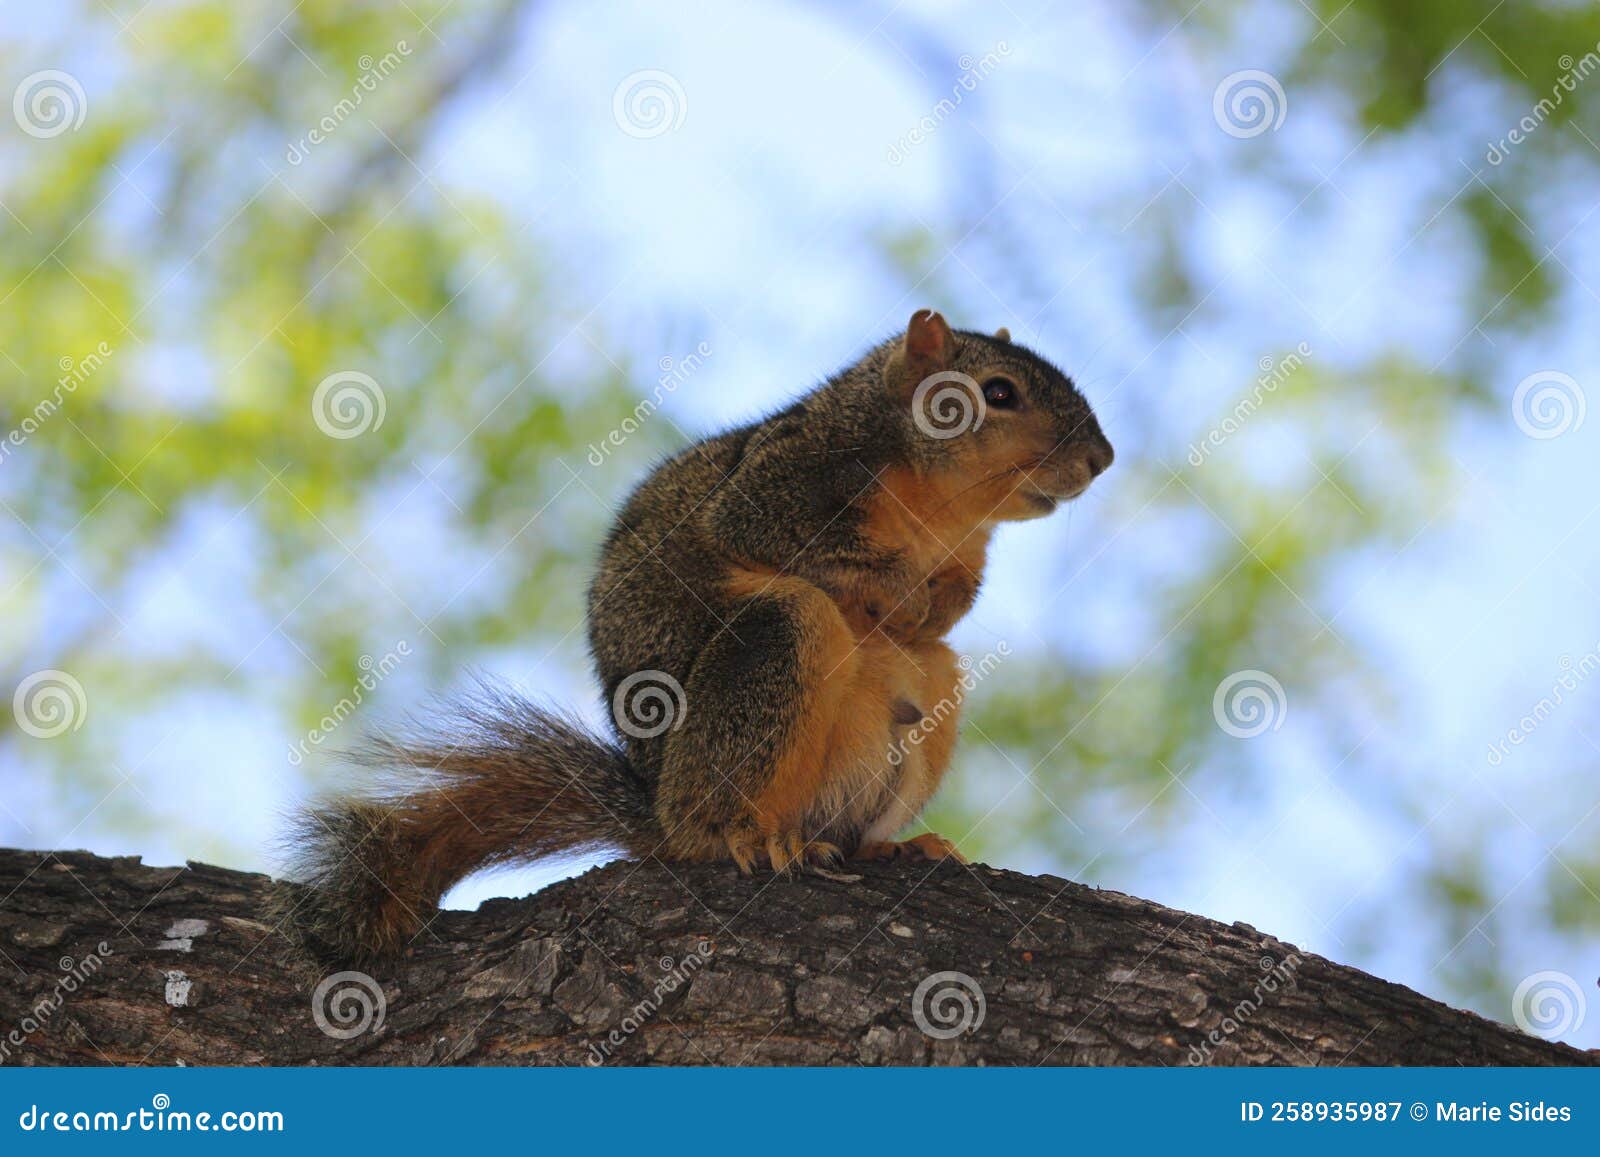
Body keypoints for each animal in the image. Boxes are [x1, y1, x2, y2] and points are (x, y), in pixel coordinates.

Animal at [276, 310, 1113, 962]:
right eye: (998, 393)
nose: (1101, 459)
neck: (941, 510)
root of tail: (662, 813)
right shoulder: (782, 478)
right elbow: (778, 538)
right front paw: (893, 586)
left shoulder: (967, 556)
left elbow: (953, 606)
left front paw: (921, 603)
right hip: (773, 648)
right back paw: (748, 833)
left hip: (929, 685)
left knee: (897, 726)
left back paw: (890, 842)